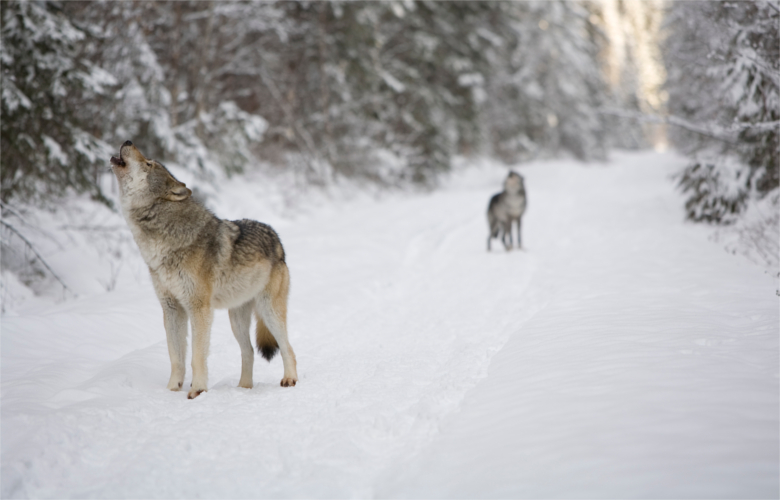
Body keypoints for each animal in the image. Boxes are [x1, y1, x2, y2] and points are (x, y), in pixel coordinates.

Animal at [110, 141, 297, 399]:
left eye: (148, 164)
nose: (127, 142)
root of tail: (276, 239)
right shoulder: (172, 309)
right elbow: (176, 357)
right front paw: (172, 390)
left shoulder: (199, 308)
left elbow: (197, 356)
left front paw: (197, 390)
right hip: (236, 319)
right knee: (248, 351)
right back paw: (243, 388)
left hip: (268, 311)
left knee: (288, 347)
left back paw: (289, 379)